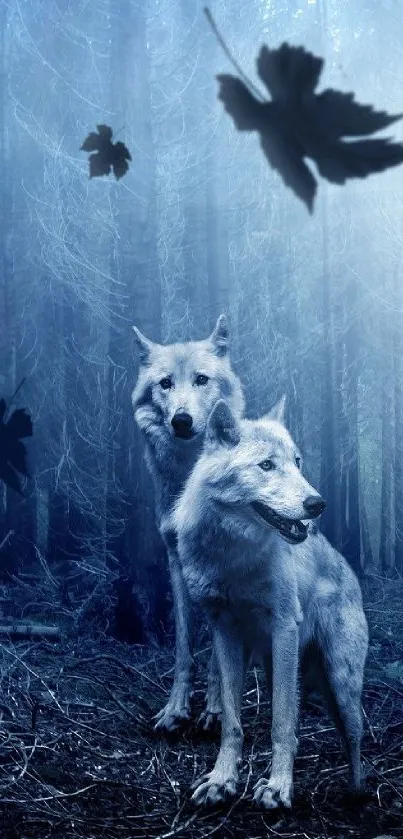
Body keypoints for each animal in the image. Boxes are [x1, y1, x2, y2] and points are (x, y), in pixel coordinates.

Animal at [131, 316, 244, 731]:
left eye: (201, 379)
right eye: (165, 383)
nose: (181, 420)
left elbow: (218, 653)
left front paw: (215, 709)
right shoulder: (176, 561)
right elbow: (183, 644)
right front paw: (175, 709)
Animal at [173, 398, 368, 809]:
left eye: (297, 462)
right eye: (266, 465)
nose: (318, 504)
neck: (232, 558)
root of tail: (349, 570)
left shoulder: (284, 627)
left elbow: (281, 723)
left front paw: (278, 788)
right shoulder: (224, 631)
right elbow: (232, 722)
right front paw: (222, 781)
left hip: (340, 681)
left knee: (354, 738)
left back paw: (356, 794)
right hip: (278, 667)